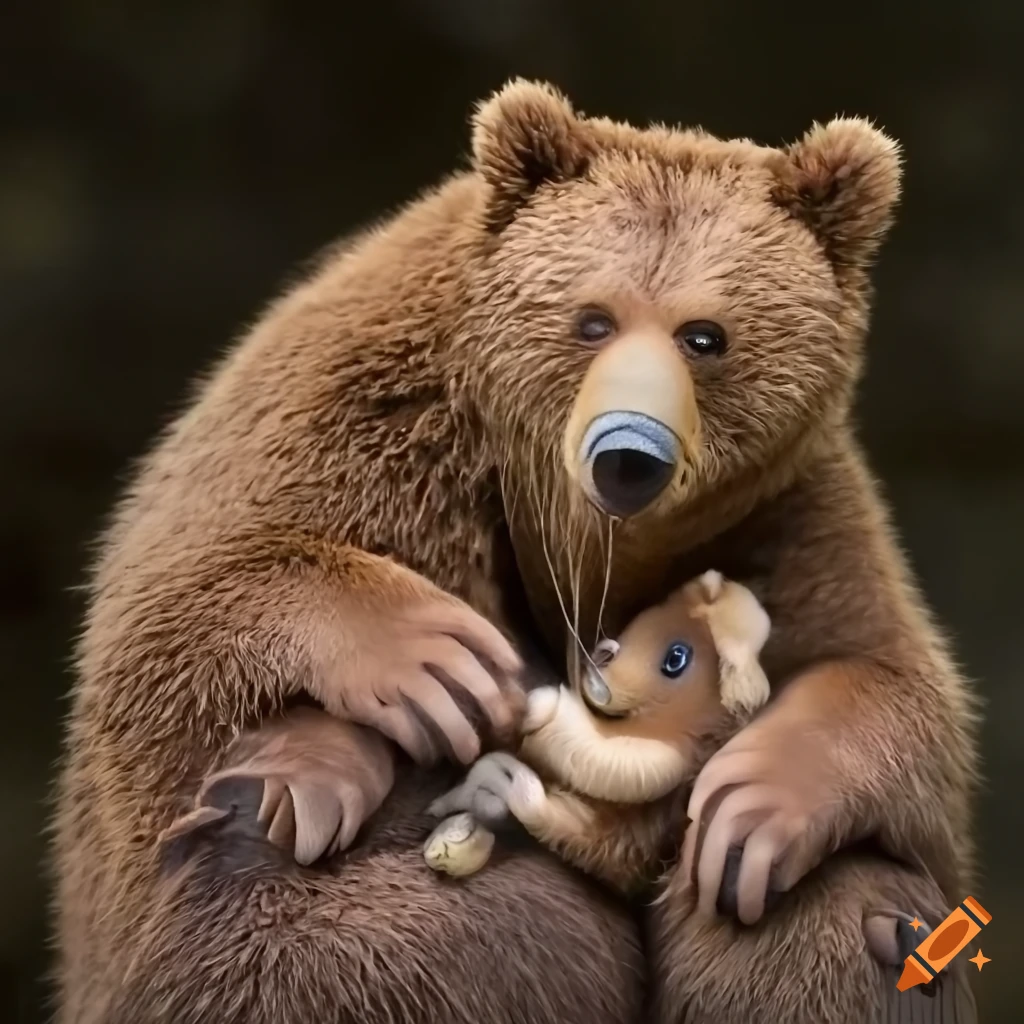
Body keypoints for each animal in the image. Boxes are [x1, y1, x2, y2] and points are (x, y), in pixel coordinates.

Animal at [50, 79, 980, 1024]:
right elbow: (177, 609)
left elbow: (887, 677)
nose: (629, 452)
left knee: (840, 912)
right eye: (592, 320)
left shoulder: (784, 512)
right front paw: (433, 664)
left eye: (705, 335)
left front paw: (753, 804)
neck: (577, 541)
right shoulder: (362, 425)